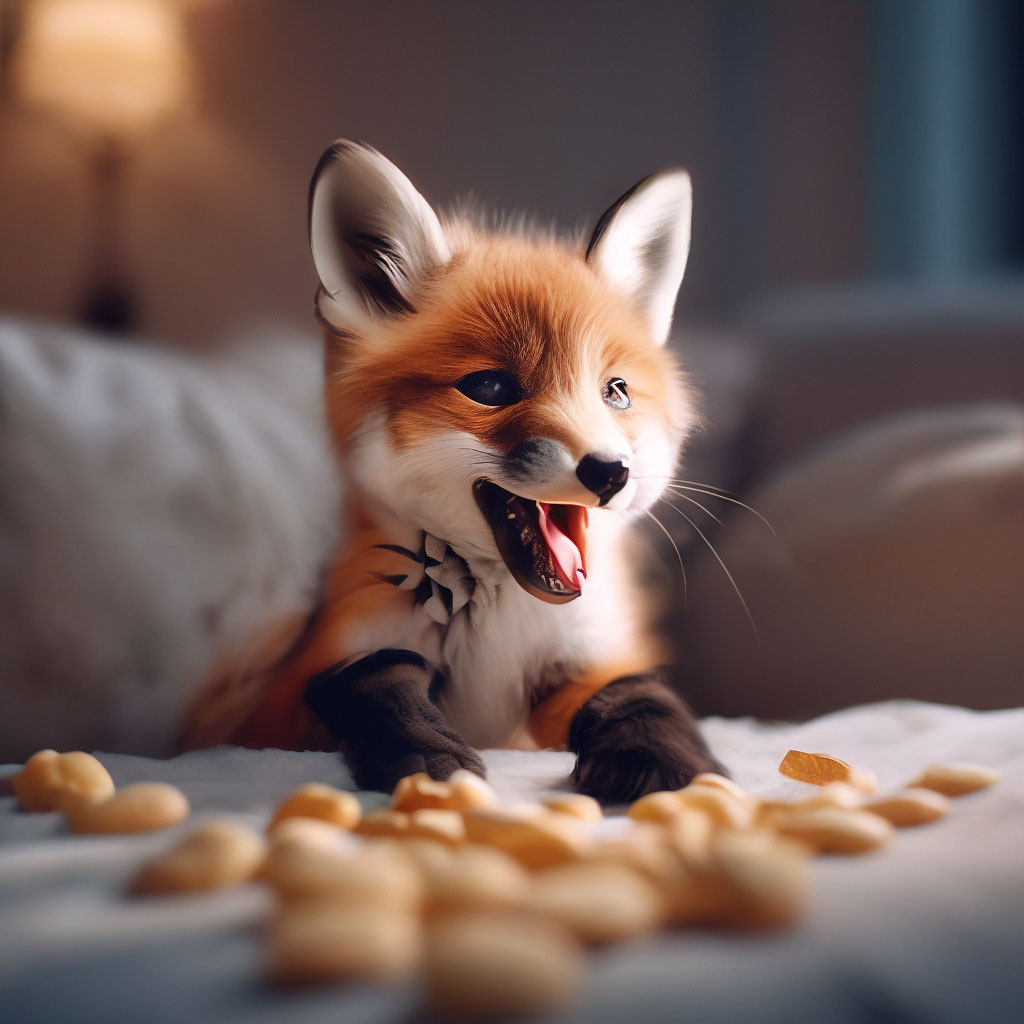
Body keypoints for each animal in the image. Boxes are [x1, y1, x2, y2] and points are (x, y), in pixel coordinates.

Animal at [183, 141, 725, 803]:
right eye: (490, 388)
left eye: (615, 391)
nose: (610, 472)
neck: (500, 626)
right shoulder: (299, 687)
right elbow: (376, 683)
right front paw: (429, 761)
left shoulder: (590, 659)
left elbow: (638, 692)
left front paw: (662, 765)